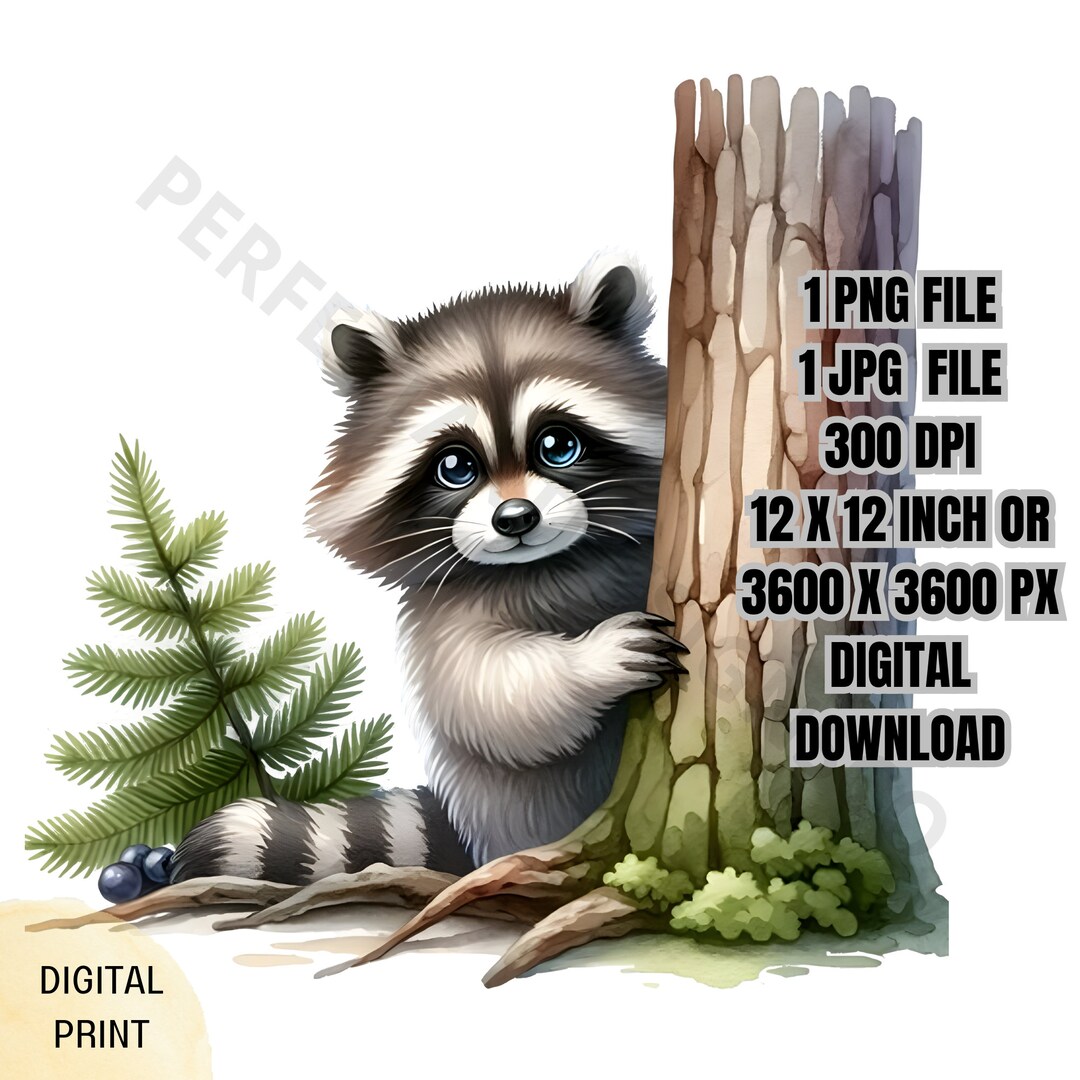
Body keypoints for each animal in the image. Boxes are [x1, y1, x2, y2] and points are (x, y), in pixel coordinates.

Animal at [166, 252, 685, 888]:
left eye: (557, 445)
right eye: (456, 466)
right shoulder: (438, 613)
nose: (516, 519)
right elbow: (492, 695)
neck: (553, 561)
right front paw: (595, 662)